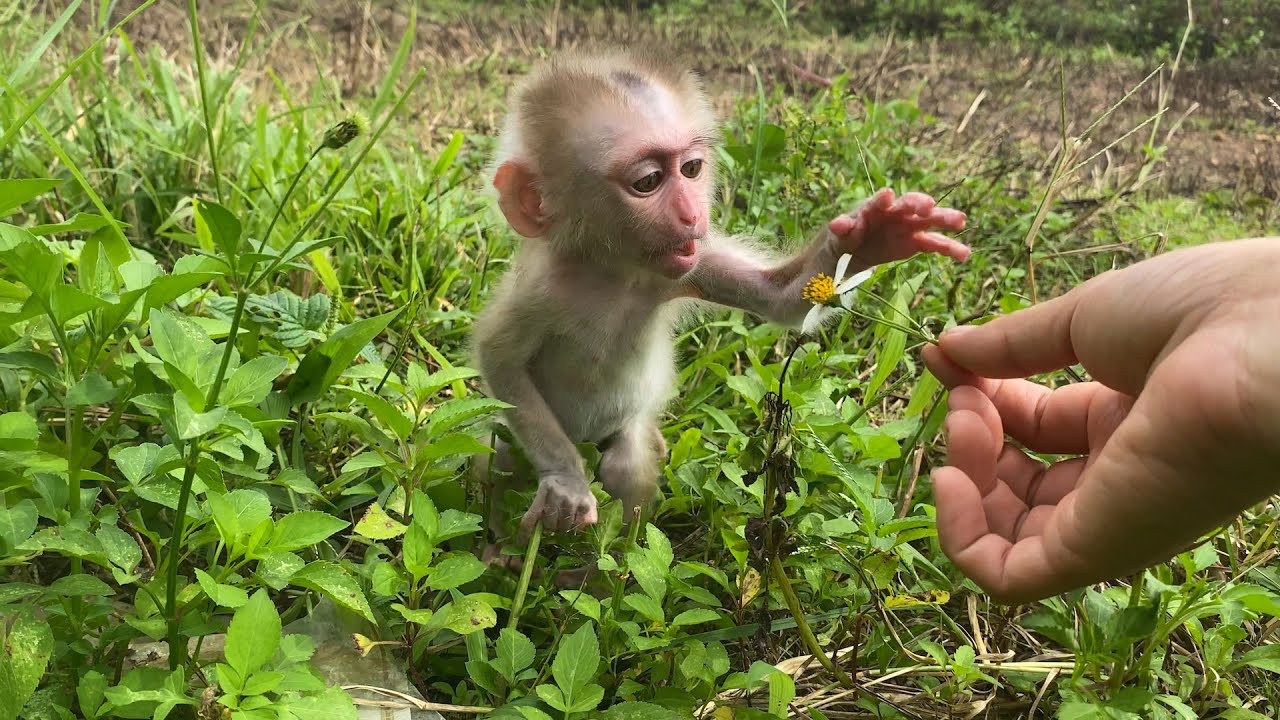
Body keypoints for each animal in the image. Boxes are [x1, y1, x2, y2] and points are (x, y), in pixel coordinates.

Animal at [472, 48, 970, 550]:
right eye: (648, 181)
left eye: (691, 170)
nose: (693, 213)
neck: (615, 273)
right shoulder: (540, 289)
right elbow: (499, 359)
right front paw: (566, 480)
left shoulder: (693, 262)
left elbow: (781, 300)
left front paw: (876, 235)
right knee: (496, 453)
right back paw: (504, 551)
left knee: (625, 465)